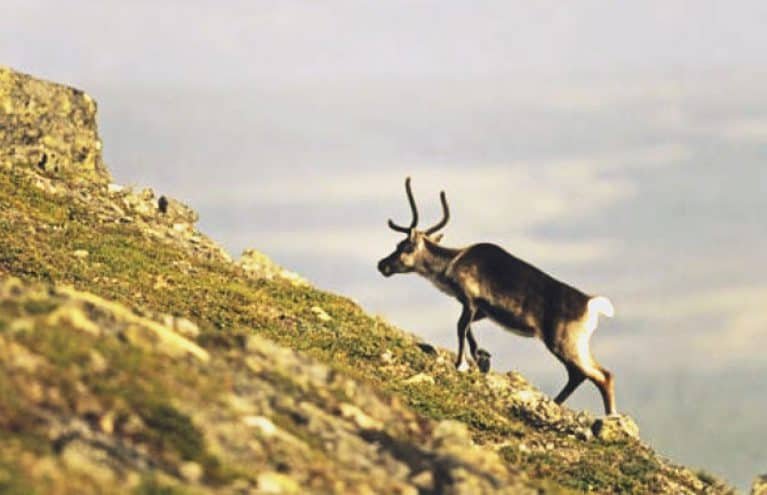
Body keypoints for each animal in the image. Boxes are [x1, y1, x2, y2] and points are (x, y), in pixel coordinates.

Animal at [377, 177, 618, 415]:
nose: (382, 265)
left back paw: (608, 416)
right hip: (575, 343)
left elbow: (461, 328)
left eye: (404, 246)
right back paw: (556, 403)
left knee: (599, 375)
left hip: (563, 341)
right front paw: (482, 358)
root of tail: (590, 304)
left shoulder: (470, 299)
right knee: (583, 374)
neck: (451, 264)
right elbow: (469, 331)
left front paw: (461, 364)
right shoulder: (481, 309)